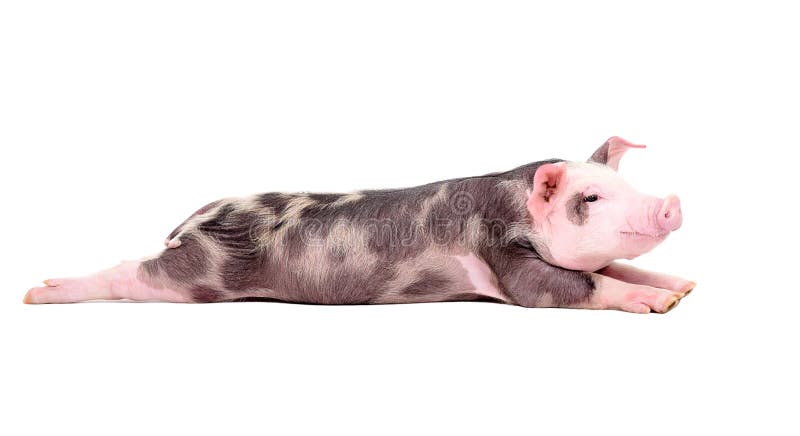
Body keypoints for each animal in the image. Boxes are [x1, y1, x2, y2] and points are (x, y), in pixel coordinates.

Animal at [23, 136, 694, 313]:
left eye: (628, 188)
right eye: (591, 198)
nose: (670, 203)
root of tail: (198, 217)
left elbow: (622, 266)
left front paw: (681, 289)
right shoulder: (504, 260)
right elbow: (578, 284)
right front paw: (657, 306)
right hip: (199, 274)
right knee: (128, 272)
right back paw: (38, 293)